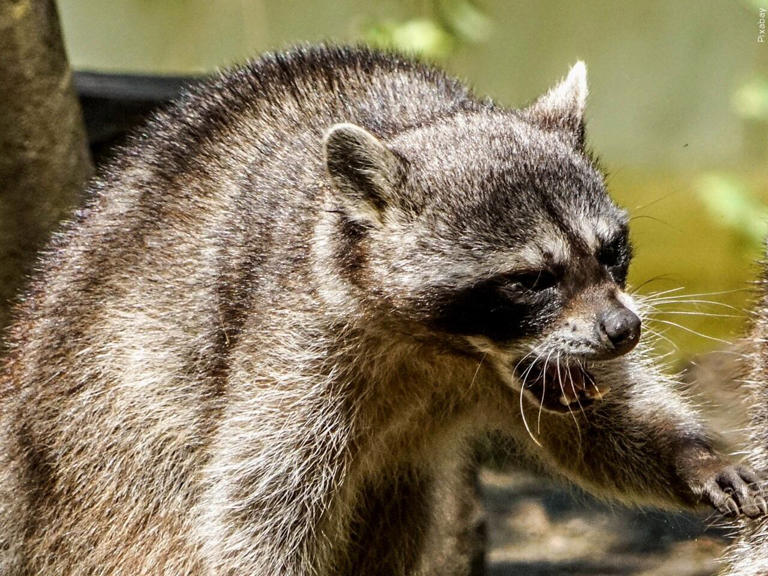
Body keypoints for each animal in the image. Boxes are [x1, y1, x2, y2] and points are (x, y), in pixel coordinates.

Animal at [0, 45, 763, 575]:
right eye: (530, 280)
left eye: (612, 252)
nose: (625, 330)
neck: (444, 350)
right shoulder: (294, 341)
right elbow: (255, 506)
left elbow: (602, 422)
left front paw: (691, 453)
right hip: (100, 452)